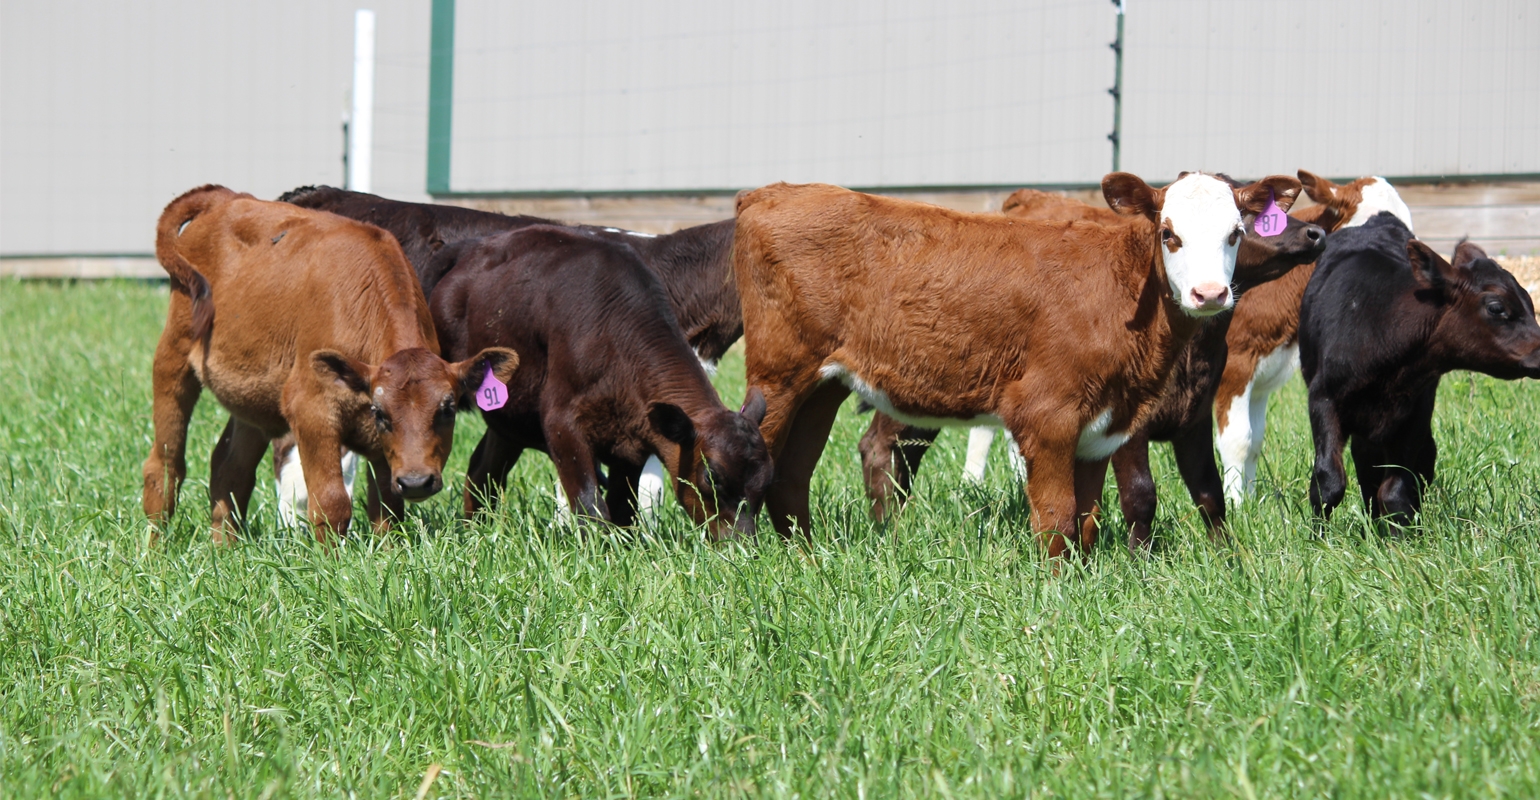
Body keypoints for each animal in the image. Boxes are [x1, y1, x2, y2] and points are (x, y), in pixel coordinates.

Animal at [142, 185, 518, 543]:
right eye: (381, 412)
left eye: (448, 409)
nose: (416, 482)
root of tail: (228, 197)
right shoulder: (312, 409)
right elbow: (331, 502)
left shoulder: (383, 451)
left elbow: (387, 510)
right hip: (174, 354)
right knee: (164, 466)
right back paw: (156, 549)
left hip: (253, 397)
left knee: (229, 471)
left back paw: (226, 550)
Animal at [428, 225, 771, 538]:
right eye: (712, 477)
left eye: (765, 483)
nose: (742, 546)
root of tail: (471, 247)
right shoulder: (561, 423)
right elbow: (588, 501)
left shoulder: (631, 446)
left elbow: (623, 508)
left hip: (511, 414)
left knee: (483, 470)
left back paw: (476, 531)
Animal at [734, 173, 1300, 558]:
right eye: (1168, 234)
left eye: (1235, 233)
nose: (1210, 293)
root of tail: (770, 192)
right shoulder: (1046, 415)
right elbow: (1056, 518)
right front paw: (1055, 597)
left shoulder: (1103, 423)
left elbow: (1087, 517)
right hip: (778, 375)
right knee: (753, 454)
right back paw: (737, 554)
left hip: (822, 383)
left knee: (793, 473)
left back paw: (805, 556)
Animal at [1214, 172, 1414, 503]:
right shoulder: (1236, 365)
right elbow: (1238, 441)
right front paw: (1234, 505)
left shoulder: (1262, 378)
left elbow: (1255, 441)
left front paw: (1252, 504)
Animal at [1302, 214, 1540, 525]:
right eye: (1496, 307)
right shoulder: (1322, 398)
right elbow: (1327, 483)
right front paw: (1320, 534)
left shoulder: (1415, 409)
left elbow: (1396, 490)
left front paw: (1401, 534)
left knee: (1416, 462)